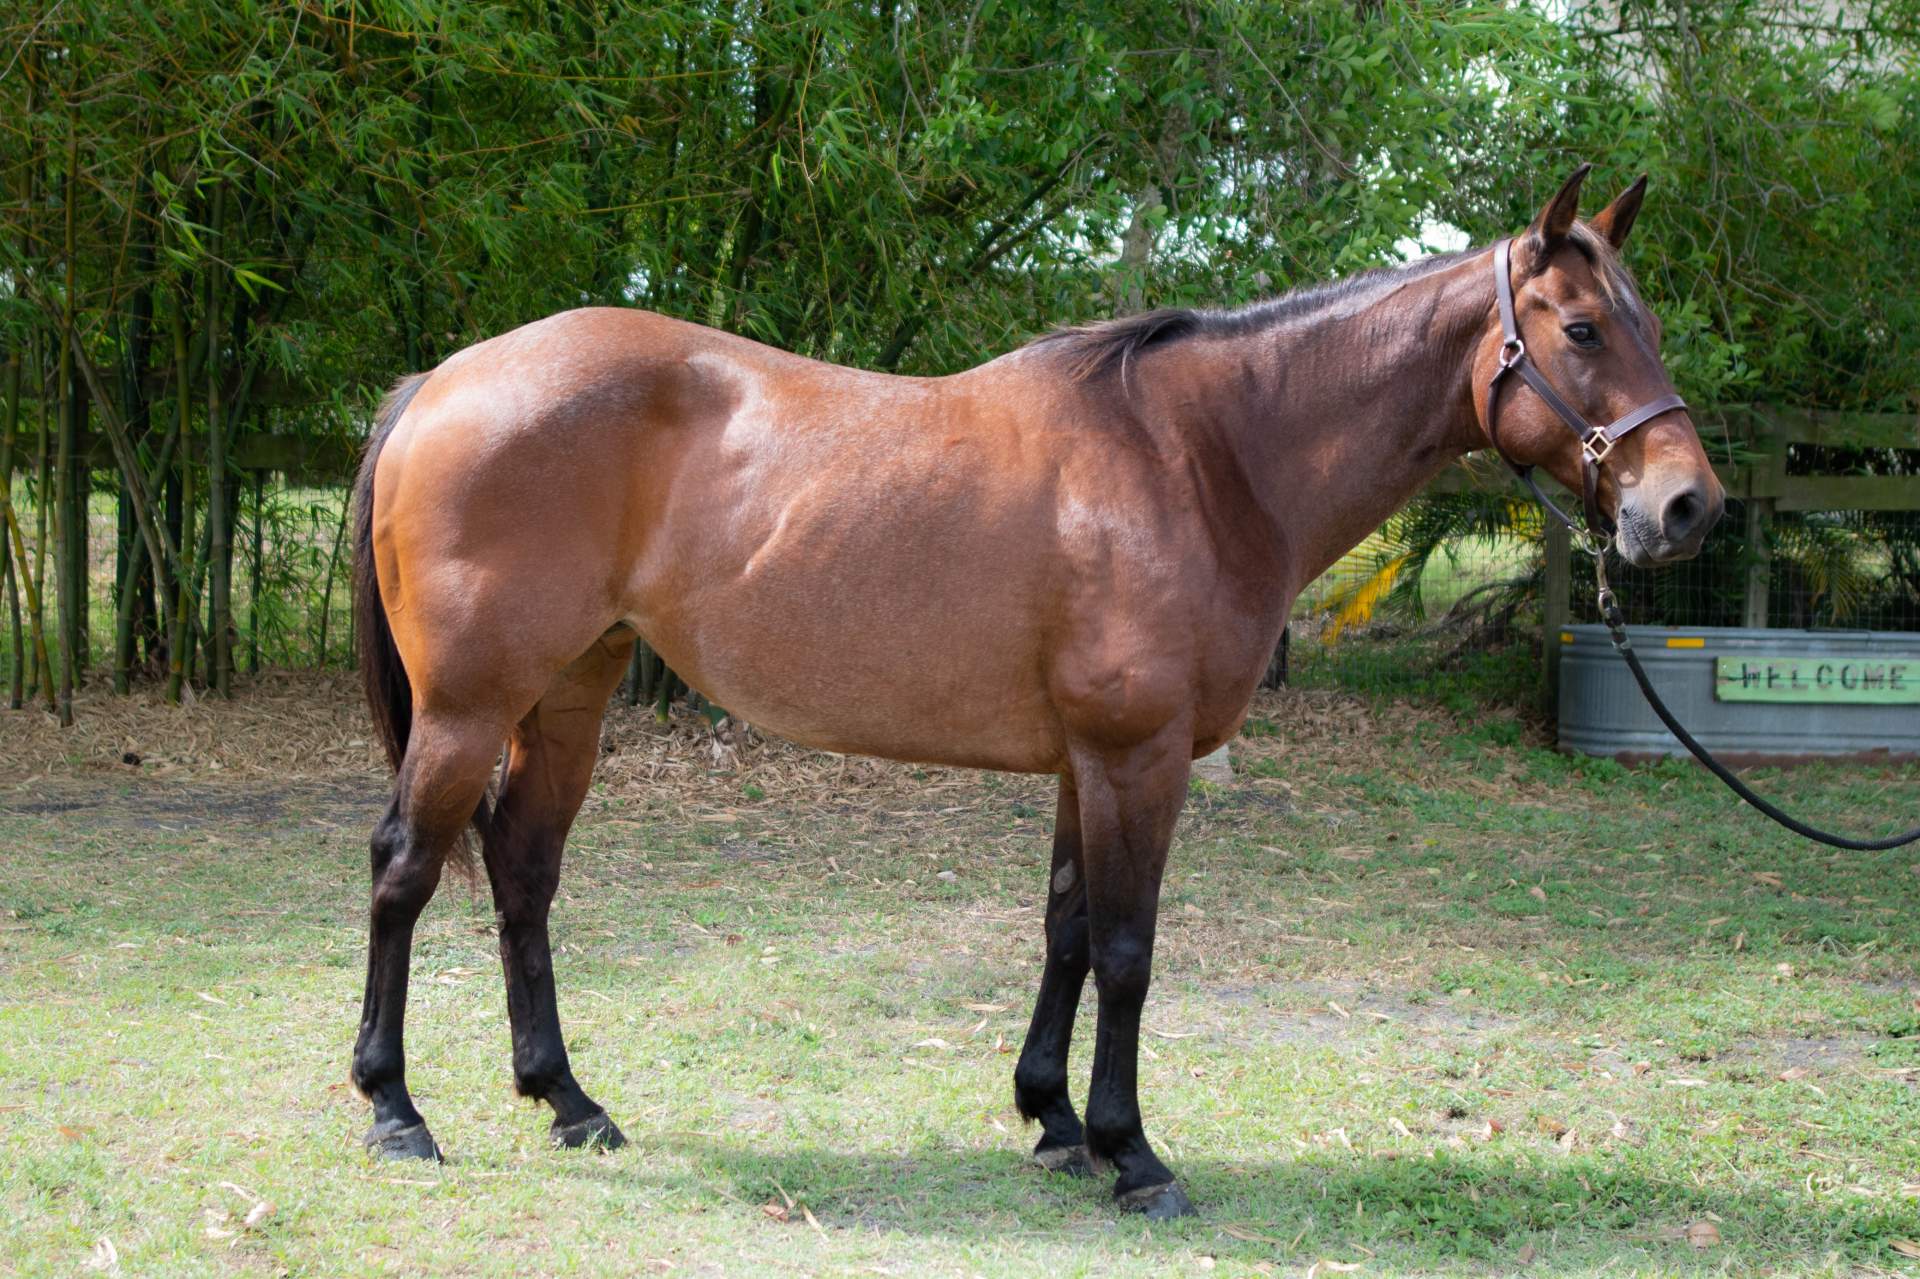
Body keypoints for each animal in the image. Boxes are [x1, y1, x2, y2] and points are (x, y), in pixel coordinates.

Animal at [347, 166, 1722, 1218]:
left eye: (1649, 322)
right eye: (1584, 330)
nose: (1686, 507)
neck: (1206, 459)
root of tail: (441, 382)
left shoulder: (1085, 763)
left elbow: (1064, 928)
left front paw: (1053, 1119)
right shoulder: (1137, 757)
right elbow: (1126, 947)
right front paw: (1132, 1153)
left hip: (566, 699)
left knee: (522, 869)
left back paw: (567, 1099)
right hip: (469, 710)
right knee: (406, 869)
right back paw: (395, 1109)